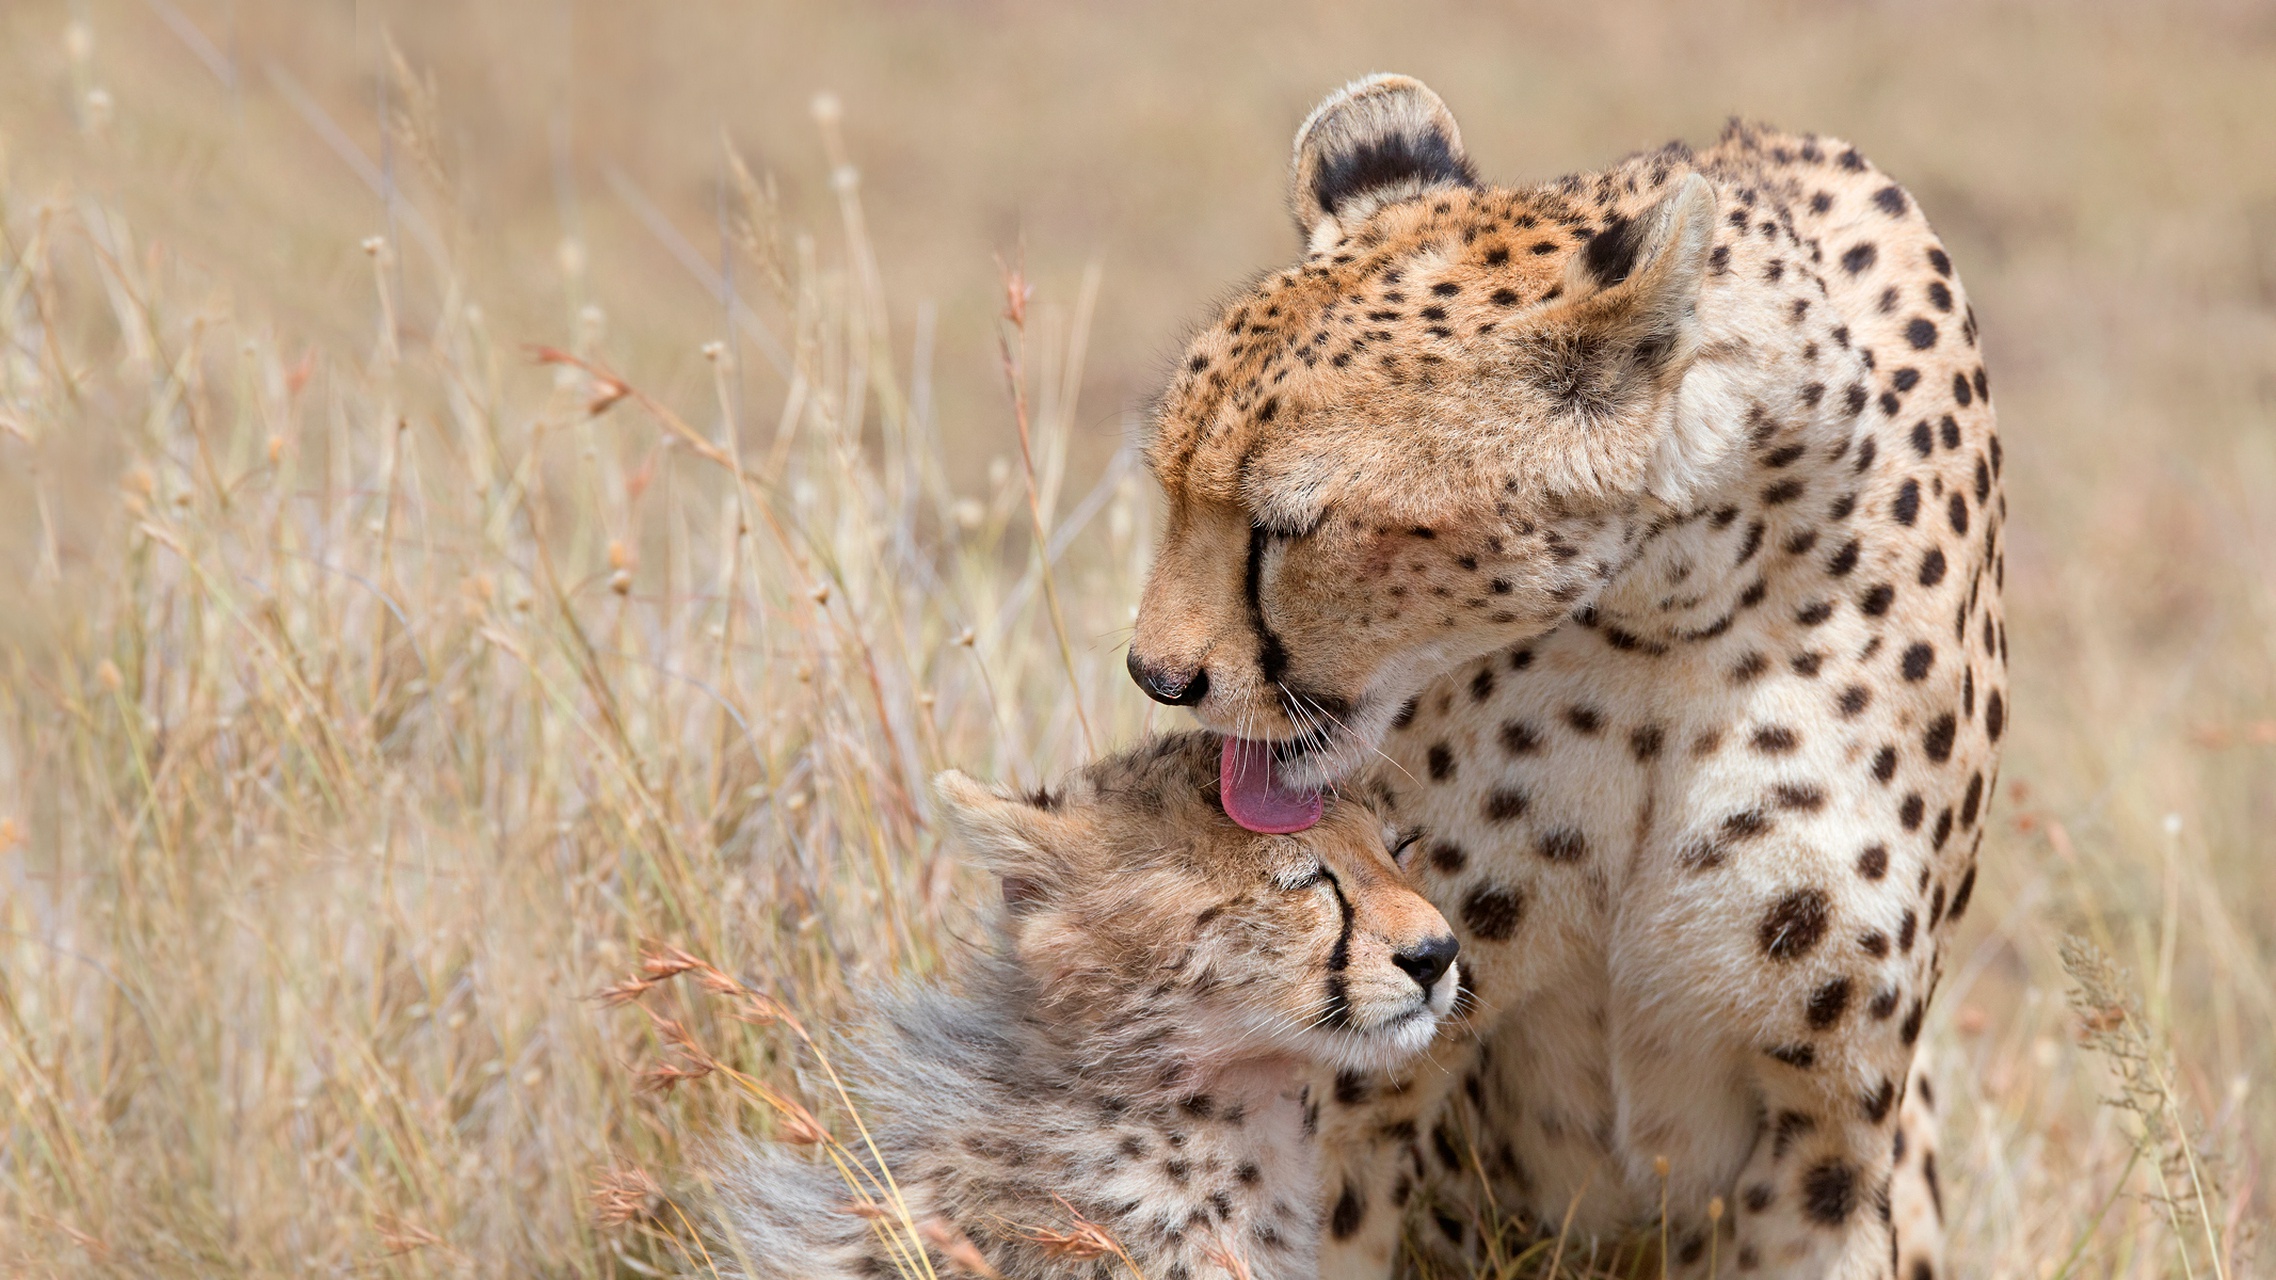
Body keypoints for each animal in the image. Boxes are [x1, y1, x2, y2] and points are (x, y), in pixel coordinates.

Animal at [1125, 74, 2004, 1280]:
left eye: (1286, 526)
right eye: (1169, 488)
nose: (1154, 674)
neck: (1663, 601)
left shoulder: (1829, 1127)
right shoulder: (1371, 1073)